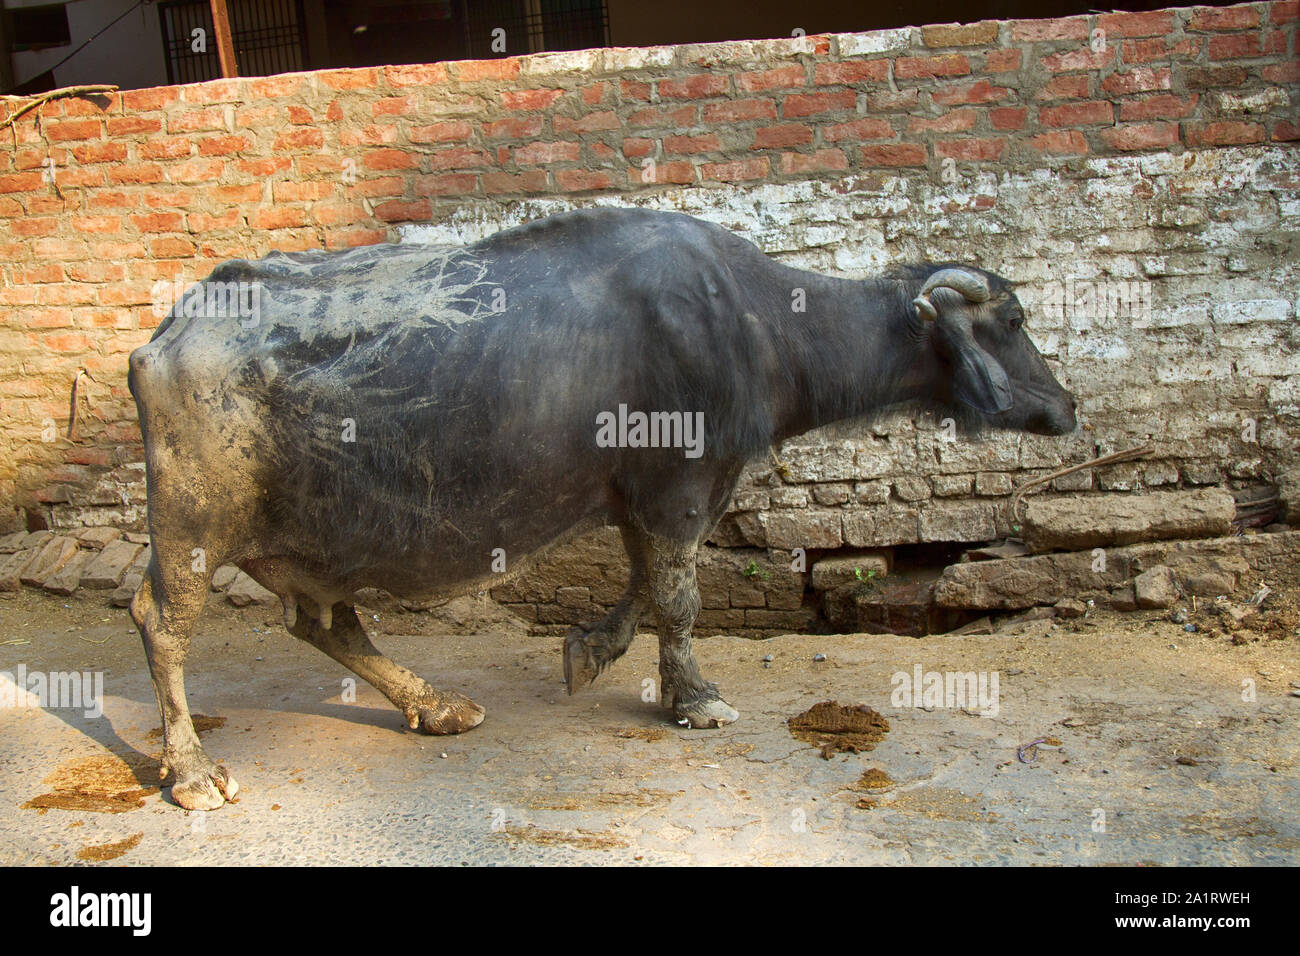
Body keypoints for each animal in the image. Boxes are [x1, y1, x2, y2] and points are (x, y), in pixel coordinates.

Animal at [128, 207, 1076, 809]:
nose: (1066, 406)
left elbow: (646, 587)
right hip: (194, 525)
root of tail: (169, 333)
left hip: (315, 541)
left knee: (326, 624)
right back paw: (194, 771)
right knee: (160, 621)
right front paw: (695, 698)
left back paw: (438, 706)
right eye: (1014, 319)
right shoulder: (680, 487)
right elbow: (681, 598)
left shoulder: (639, 494)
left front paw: (589, 651)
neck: (754, 323)